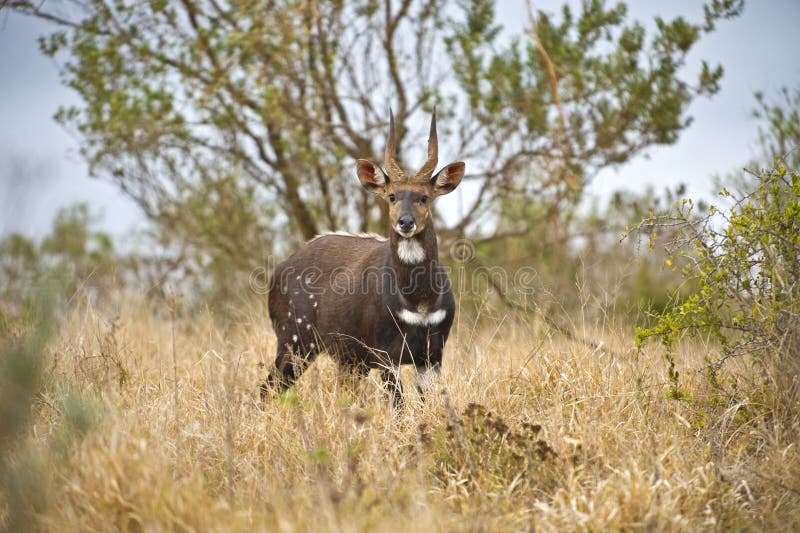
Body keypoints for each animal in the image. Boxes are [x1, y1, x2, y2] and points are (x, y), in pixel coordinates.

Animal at [259, 109, 465, 407]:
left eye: (424, 197)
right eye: (392, 196)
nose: (405, 222)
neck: (419, 301)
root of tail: (278, 271)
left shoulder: (432, 356)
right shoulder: (387, 355)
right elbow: (399, 406)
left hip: (346, 359)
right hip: (294, 342)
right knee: (267, 388)